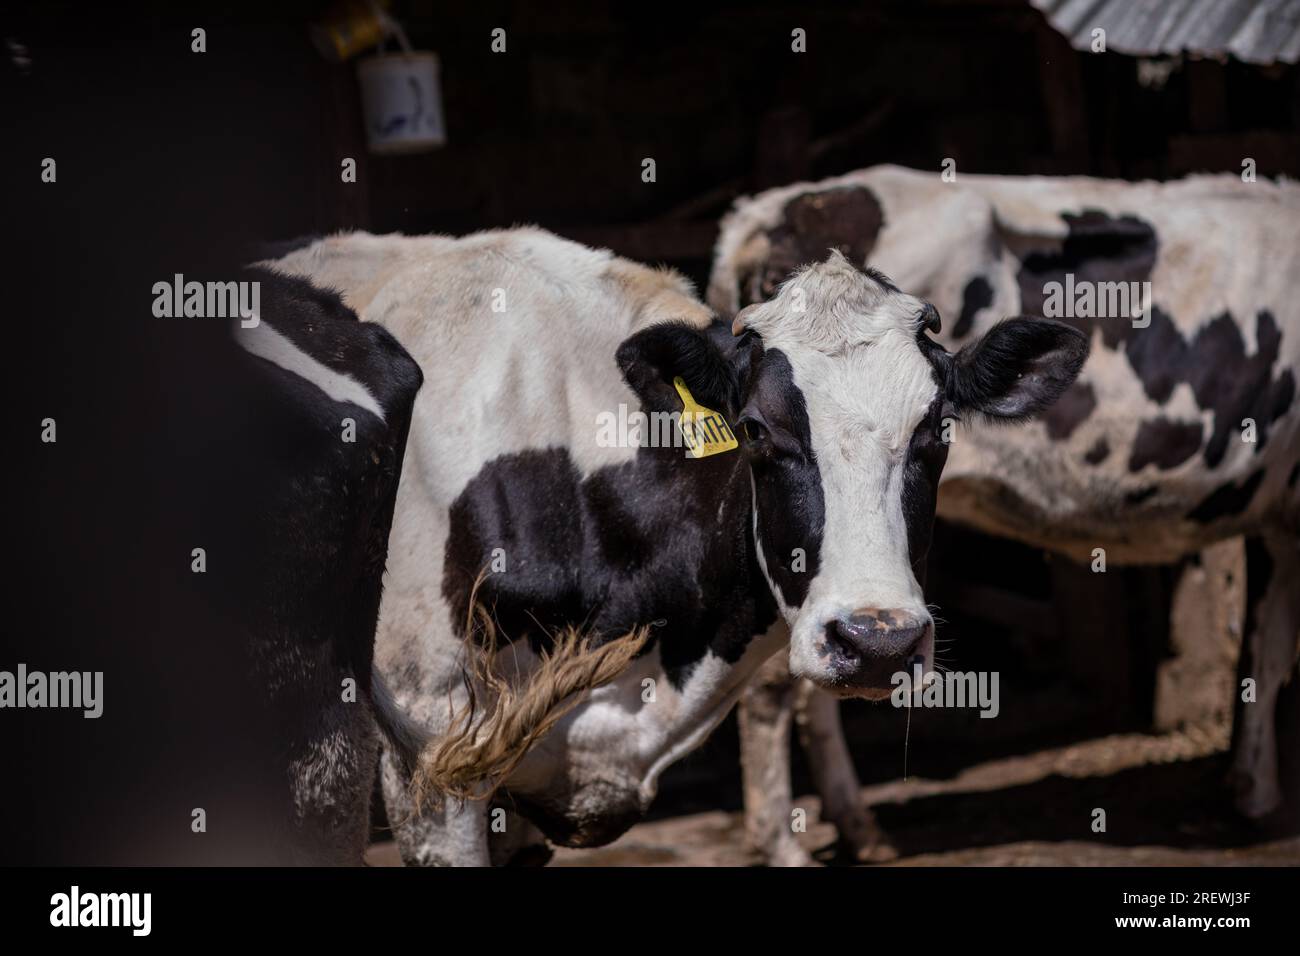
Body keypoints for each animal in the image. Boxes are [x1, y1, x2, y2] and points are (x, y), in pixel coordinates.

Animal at [708, 164, 1300, 865]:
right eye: (755, 429)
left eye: (941, 425)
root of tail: (773, 206)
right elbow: (1273, 648)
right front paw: (1259, 797)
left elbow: (1265, 646)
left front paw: (1250, 785)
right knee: (772, 687)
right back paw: (782, 842)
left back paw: (860, 828)